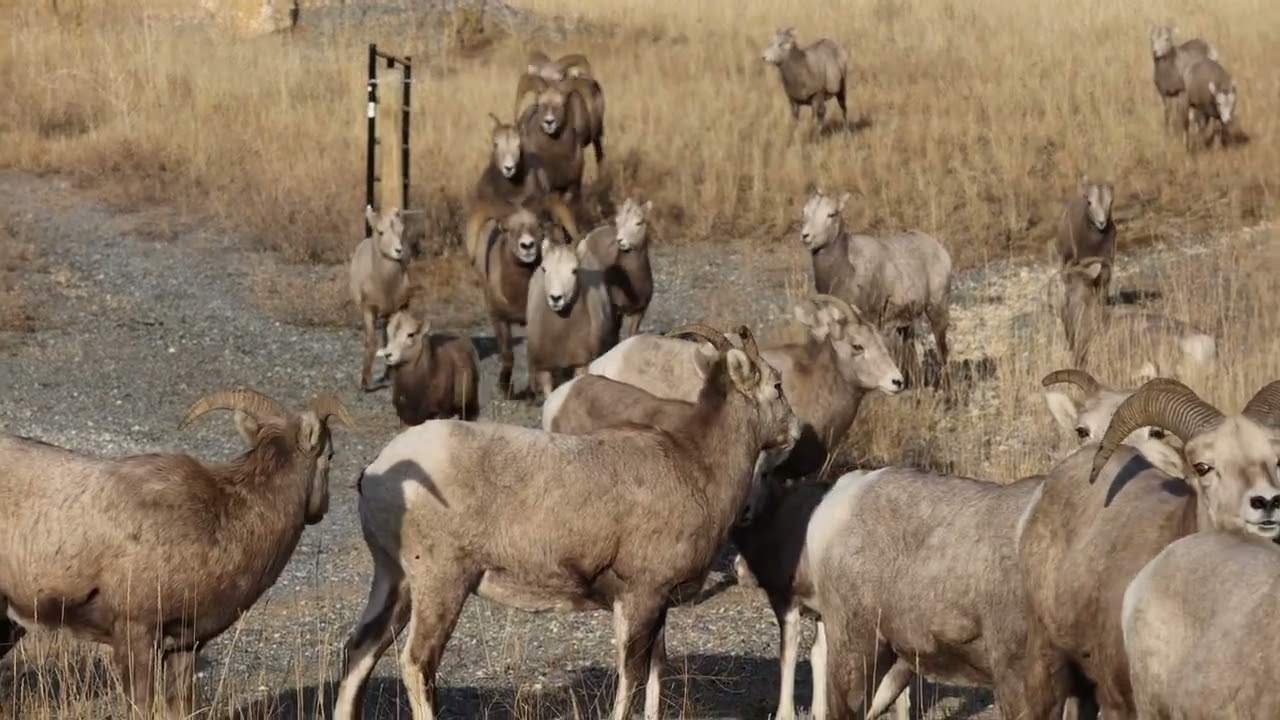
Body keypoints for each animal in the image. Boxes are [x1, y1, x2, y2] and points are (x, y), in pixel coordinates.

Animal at [332, 324, 803, 720]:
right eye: (778, 385)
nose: (796, 431)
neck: (696, 465)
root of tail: (378, 472)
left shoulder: (655, 605)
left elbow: (656, 671)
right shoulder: (641, 598)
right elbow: (631, 678)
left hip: (395, 581)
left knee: (361, 649)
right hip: (440, 585)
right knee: (417, 663)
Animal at [349, 204, 411, 393]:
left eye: (401, 230)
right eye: (380, 231)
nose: (398, 251)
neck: (385, 285)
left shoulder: (399, 309)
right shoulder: (369, 310)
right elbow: (372, 342)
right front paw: (365, 383)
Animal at [798, 189, 952, 383]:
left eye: (831, 214)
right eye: (804, 212)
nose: (806, 236)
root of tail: (939, 249)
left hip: (937, 309)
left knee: (942, 349)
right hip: (906, 325)